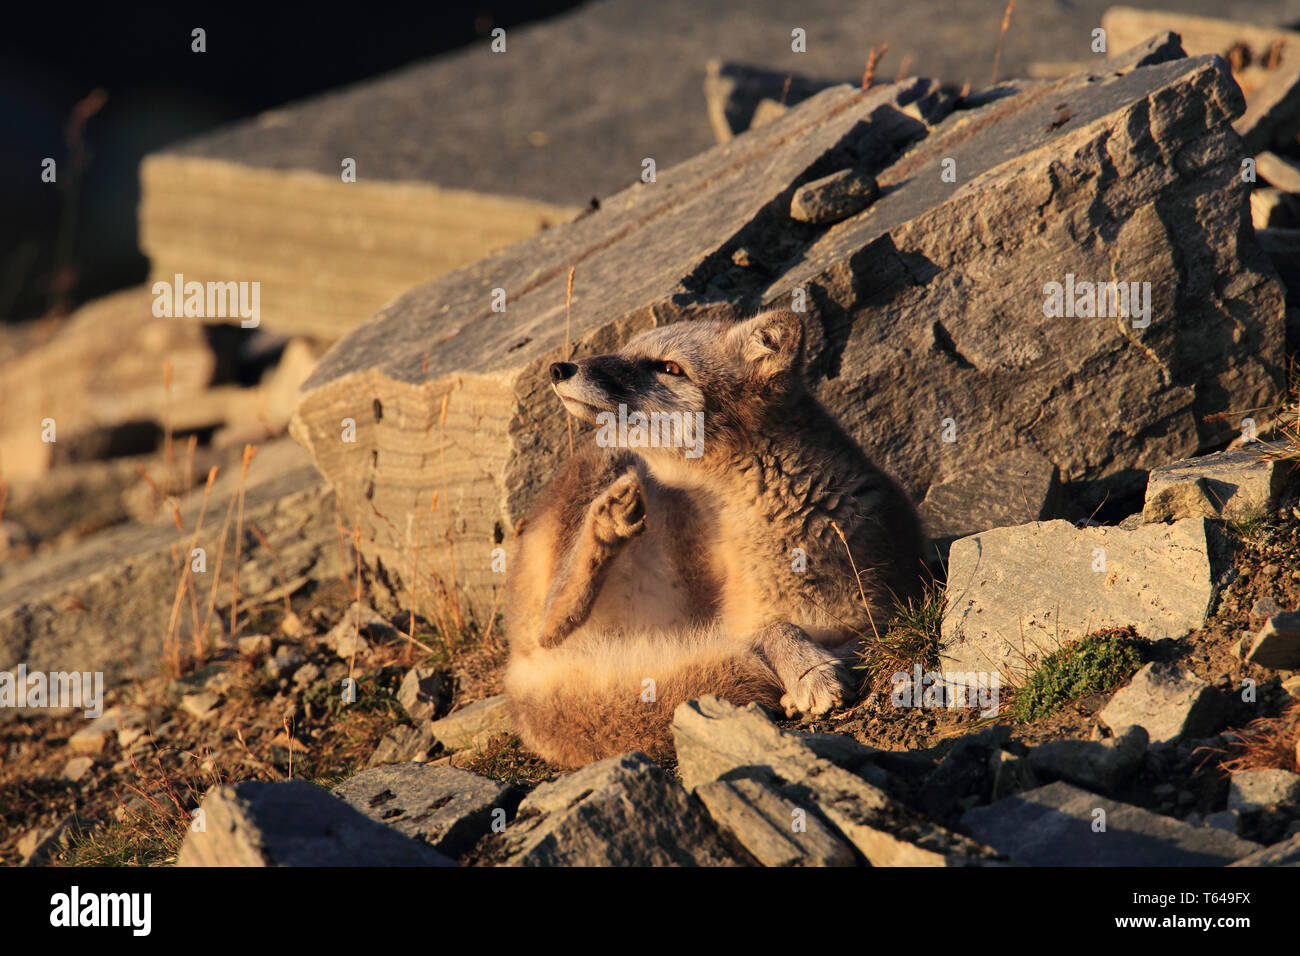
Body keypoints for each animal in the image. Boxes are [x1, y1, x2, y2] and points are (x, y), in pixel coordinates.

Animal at [504, 309, 924, 767]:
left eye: (669, 368)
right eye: (625, 351)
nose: (559, 368)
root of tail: (514, 667)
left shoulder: (890, 603)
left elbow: (871, 639)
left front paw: (818, 670)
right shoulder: (742, 625)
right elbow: (774, 629)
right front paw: (810, 672)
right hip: (608, 460)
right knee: (550, 620)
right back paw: (608, 522)